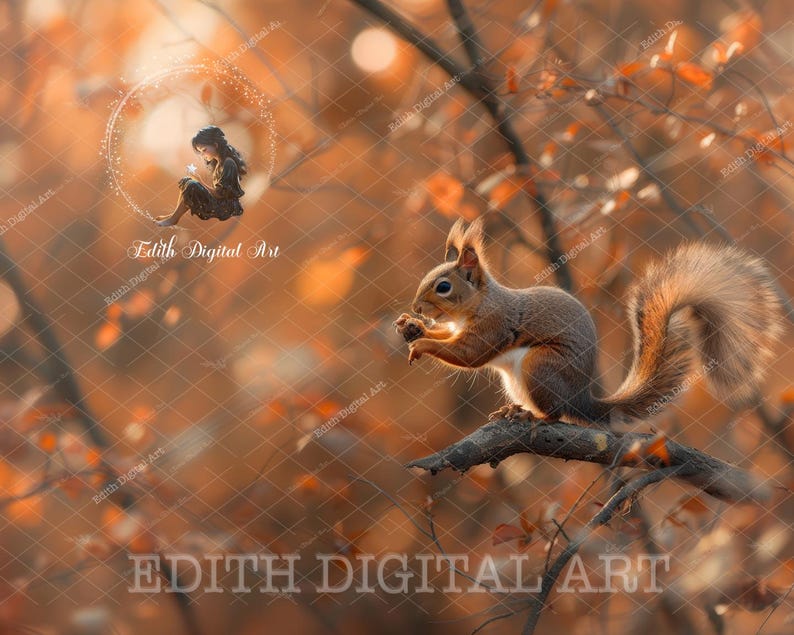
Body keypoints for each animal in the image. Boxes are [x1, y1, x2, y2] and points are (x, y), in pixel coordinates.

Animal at [394, 217, 784, 425]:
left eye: (444, 287)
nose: (416, 305)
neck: (477, 304)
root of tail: (581, 400)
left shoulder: (495, 325)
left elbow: (469, 355)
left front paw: (421, 343)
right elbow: (450, 339)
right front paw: (413, 326)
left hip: (541, 367)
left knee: (555, 415)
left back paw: (533, 417)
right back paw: (513, 409)